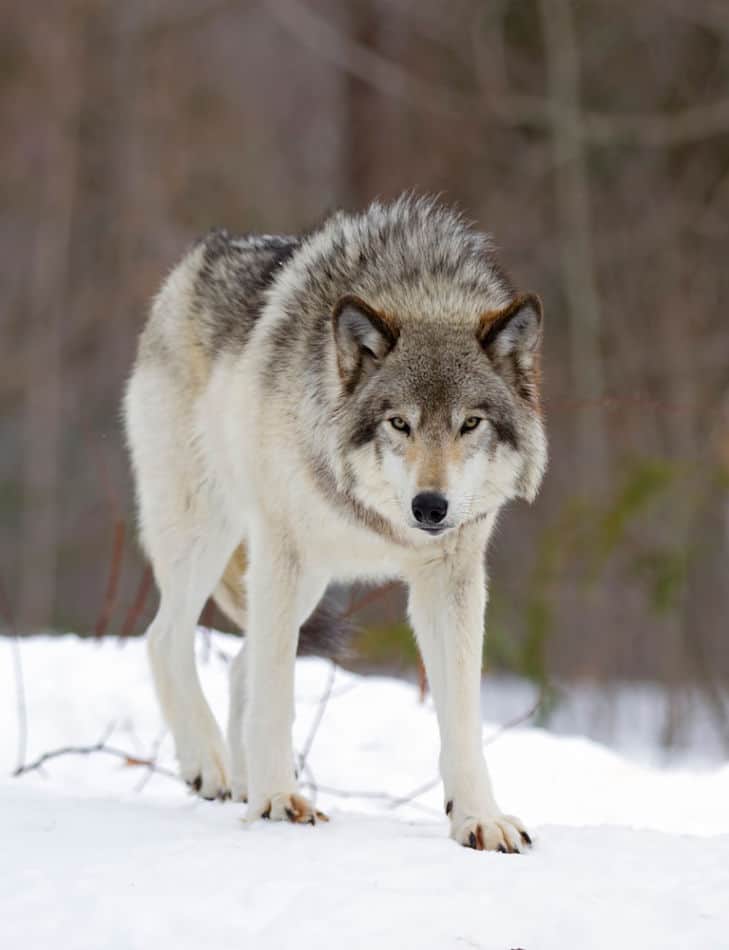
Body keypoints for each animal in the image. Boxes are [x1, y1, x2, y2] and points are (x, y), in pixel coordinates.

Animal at [124, 195, 547, 852]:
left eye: (470, 424)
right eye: (399, 423)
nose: (431, 507)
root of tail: (201, 253)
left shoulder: (450, 580)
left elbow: (463, 717)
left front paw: (479, 818)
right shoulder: (283, 553)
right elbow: (276, 693)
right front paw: (279, 800)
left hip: (300, 581)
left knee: (240, 662)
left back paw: (240, 779)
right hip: (211, 538)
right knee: (165, 638)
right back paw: (212, 766)